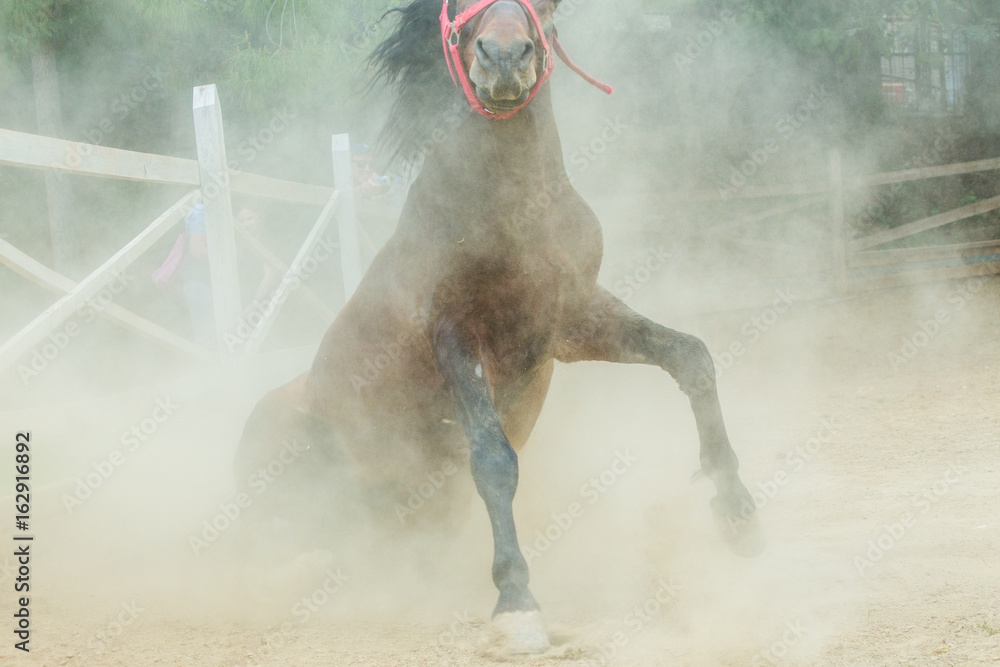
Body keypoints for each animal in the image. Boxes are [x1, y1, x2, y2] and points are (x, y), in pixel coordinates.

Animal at [234, 0, 765, 653]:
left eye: (550, 12)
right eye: (457, 19)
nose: (505, 56)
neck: (518, 213)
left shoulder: (572, 320)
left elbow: (691, 357)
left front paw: (738, 512)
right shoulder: (457, 337)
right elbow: (493, 459)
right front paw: (517, 604)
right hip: (282, 450)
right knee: (265, 547)